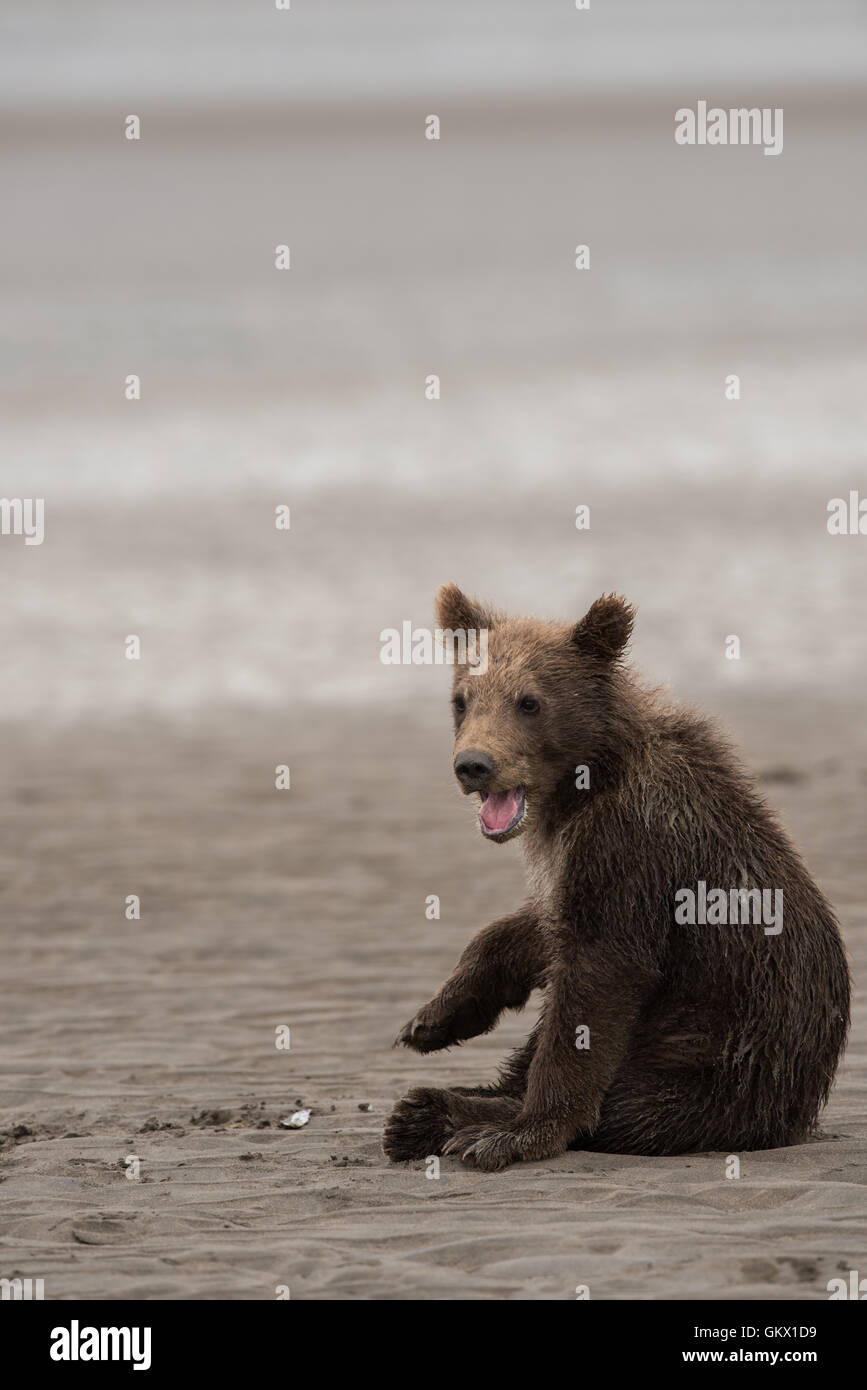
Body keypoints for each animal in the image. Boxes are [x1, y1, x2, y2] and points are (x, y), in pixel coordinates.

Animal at [383, 586, 851, 1171]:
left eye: (529, 701)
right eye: (462, 699)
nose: (473, 764)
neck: (580, 788)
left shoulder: (631, 850)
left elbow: (598, 981)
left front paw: (521, 1132)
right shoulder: (570, 865)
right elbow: (539, 927)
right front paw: (434, 1017)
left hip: (722, 1059)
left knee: (634, 1105)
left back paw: (451, 1118)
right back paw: (425, 1111)